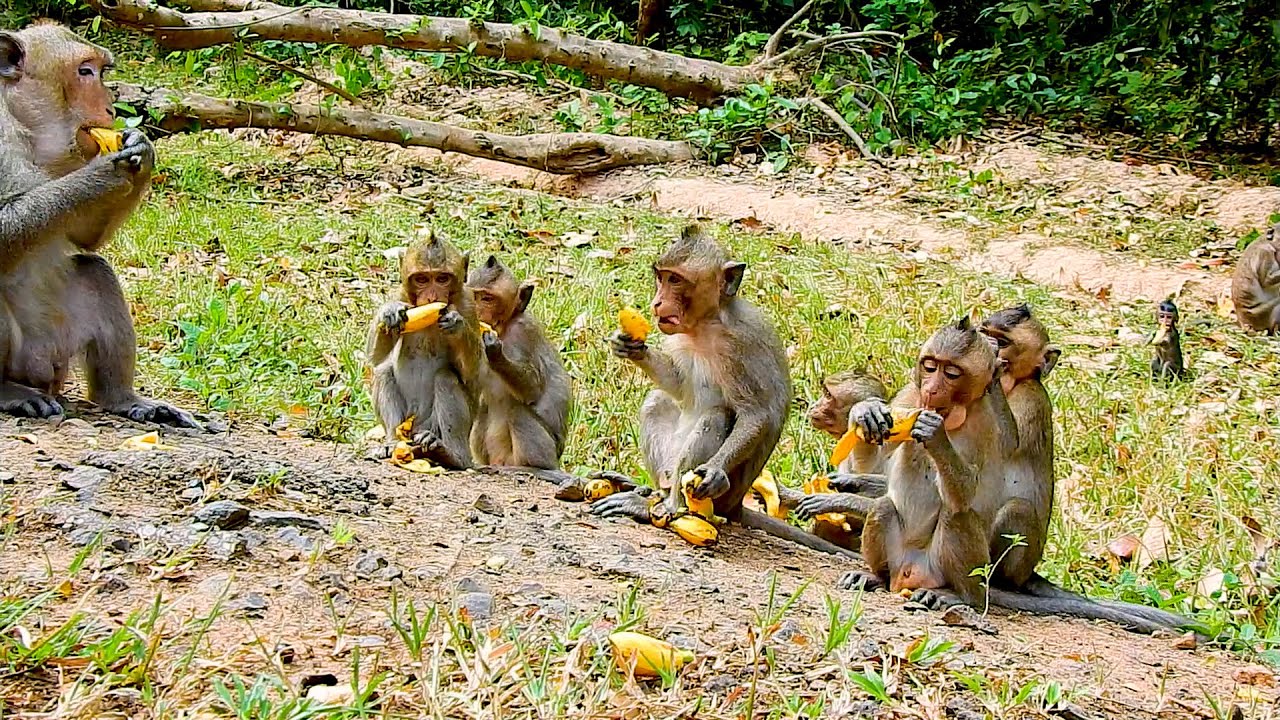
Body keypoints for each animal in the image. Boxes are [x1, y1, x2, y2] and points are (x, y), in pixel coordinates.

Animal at [0, 22, 197, 428]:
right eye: (85, 72)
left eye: (101, 72)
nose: (109, 108)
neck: (24, 126)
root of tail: (39, 369)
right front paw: (104, 173)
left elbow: (86, 239)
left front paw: (141, 151)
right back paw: (6, 392)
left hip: (57, 346)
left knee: (95, 270)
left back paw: (122, 399)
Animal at [368, 231, 483, 470]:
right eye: (421, 279)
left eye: (442, 279)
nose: (431, 298)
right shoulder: (399, 294)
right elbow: (375, 359)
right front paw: (388, 313)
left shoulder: (468, 304)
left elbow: (472, 374)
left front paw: (456, 325)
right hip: (408, 425)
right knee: (383, 371)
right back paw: (392, 444)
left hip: (434, 425)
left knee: (446, 377)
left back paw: (451, 455)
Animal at [465, 254, 573, 477]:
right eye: (474, 297)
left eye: (487, 299)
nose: (476, 313)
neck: (504, 328)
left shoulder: (524, 333)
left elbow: (532, 390)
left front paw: (495, 352)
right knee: (482, 410)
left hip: (547, 451)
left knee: (518, 411)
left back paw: (532, 467)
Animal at [589, 224, 856, 558]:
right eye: (661, 277)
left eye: (676, 280)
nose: (657, 303)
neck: (704, 325)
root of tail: (735, 505)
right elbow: (677, 385)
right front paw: (630, 347)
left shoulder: (739, 346)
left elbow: (755, 414)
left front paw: (715, 471)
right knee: (656, 402)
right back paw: (651, 491)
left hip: (721, 495)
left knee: (717, 416)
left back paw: (667, 507)